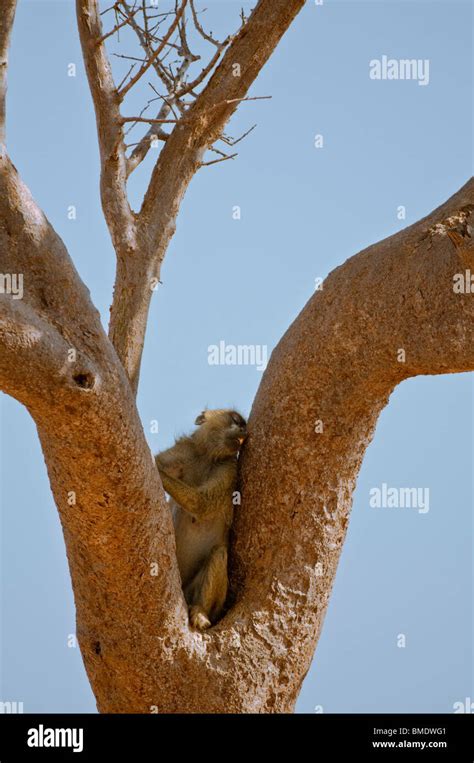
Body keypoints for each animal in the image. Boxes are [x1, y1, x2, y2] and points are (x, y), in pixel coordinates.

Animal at [155, 409, 247, 631]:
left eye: (242, 425)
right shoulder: (186, 450)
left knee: (219, 554)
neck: (207, 457)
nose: (243, 430)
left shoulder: (229, 469)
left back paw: (200, 612)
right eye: (235, 420)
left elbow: (201, 503)